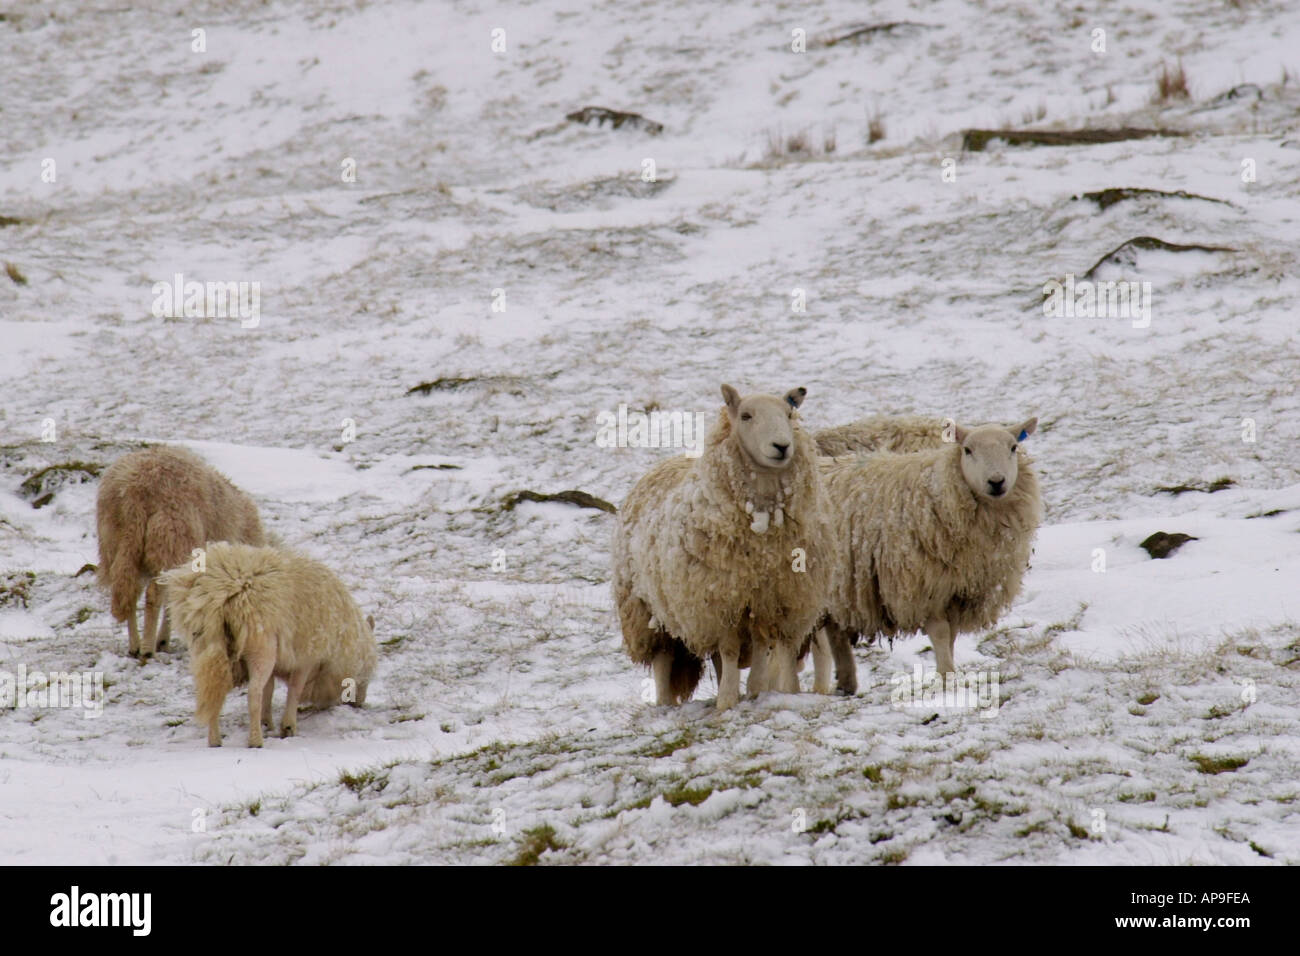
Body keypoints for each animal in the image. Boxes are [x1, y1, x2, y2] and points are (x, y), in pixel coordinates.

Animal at [96, 445, 265, 659]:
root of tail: (135, 492)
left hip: (118, 543)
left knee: (129, 591)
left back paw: (135, 645)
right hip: (169, 542)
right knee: (153, 595)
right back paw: (147, 649)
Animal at [159, 542, 377, 748]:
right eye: (368, 672)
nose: (359, 704)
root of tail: (223, 592)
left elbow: (269, 689)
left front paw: (267, 723)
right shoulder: (305, 657)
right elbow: (293, 690)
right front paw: (288, 726)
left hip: (206, 645)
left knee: (213, 691)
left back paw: (215, 741)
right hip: (260, 645)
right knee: (253, 693)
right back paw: (255, 741)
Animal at [612, 384, 831, 710]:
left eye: (789, 414)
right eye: (746, 415)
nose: (781, 446)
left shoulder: (770, 596)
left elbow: (761, 645)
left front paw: (758, 690)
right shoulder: (722, 602)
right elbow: (728, 649)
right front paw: (727, 700)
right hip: (646, 609)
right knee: (663, 659)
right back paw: (665, 703)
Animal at [815, 416, 1042, 694]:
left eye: (1013, 447)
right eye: (967, 449)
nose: (997, 481)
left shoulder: (957, 590)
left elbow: (951, 636)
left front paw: (949, 671)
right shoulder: (925, 587)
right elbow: (941, 633)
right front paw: (946, 677)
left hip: (838, 591)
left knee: (834, 631)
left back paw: (847, 682)